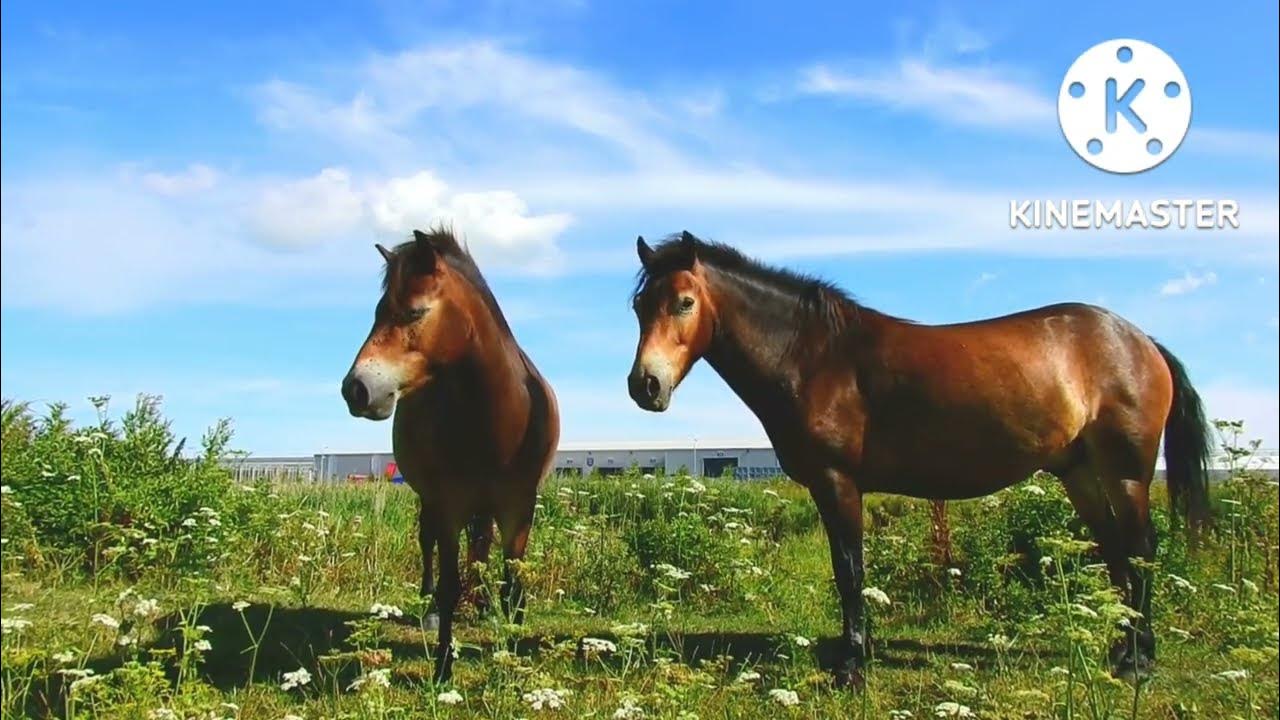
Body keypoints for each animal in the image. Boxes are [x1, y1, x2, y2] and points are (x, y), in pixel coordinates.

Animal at [342, 228, 560, 683]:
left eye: (413, 312)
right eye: (377, 311)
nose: (356, 389)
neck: (499, 416)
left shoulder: (519, 506)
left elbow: (513, 582)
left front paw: (512, 651)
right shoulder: (450, 504)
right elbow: (448, 582)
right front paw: (443, 665)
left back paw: (483, 605)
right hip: (430, 498)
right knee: (428, 544)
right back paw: (430, 609)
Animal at [626, 231, 1210, 689]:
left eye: (683, 302)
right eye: (638, 306)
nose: (645, 385)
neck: (815, 356)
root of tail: (1140, 340)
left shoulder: (838, 482)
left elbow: (850, 571)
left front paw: (852, 667)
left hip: (1127, 473)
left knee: (1140, 551)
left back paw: (1138, 662)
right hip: (1081, 473)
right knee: (1115, 554)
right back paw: (1121, 649)